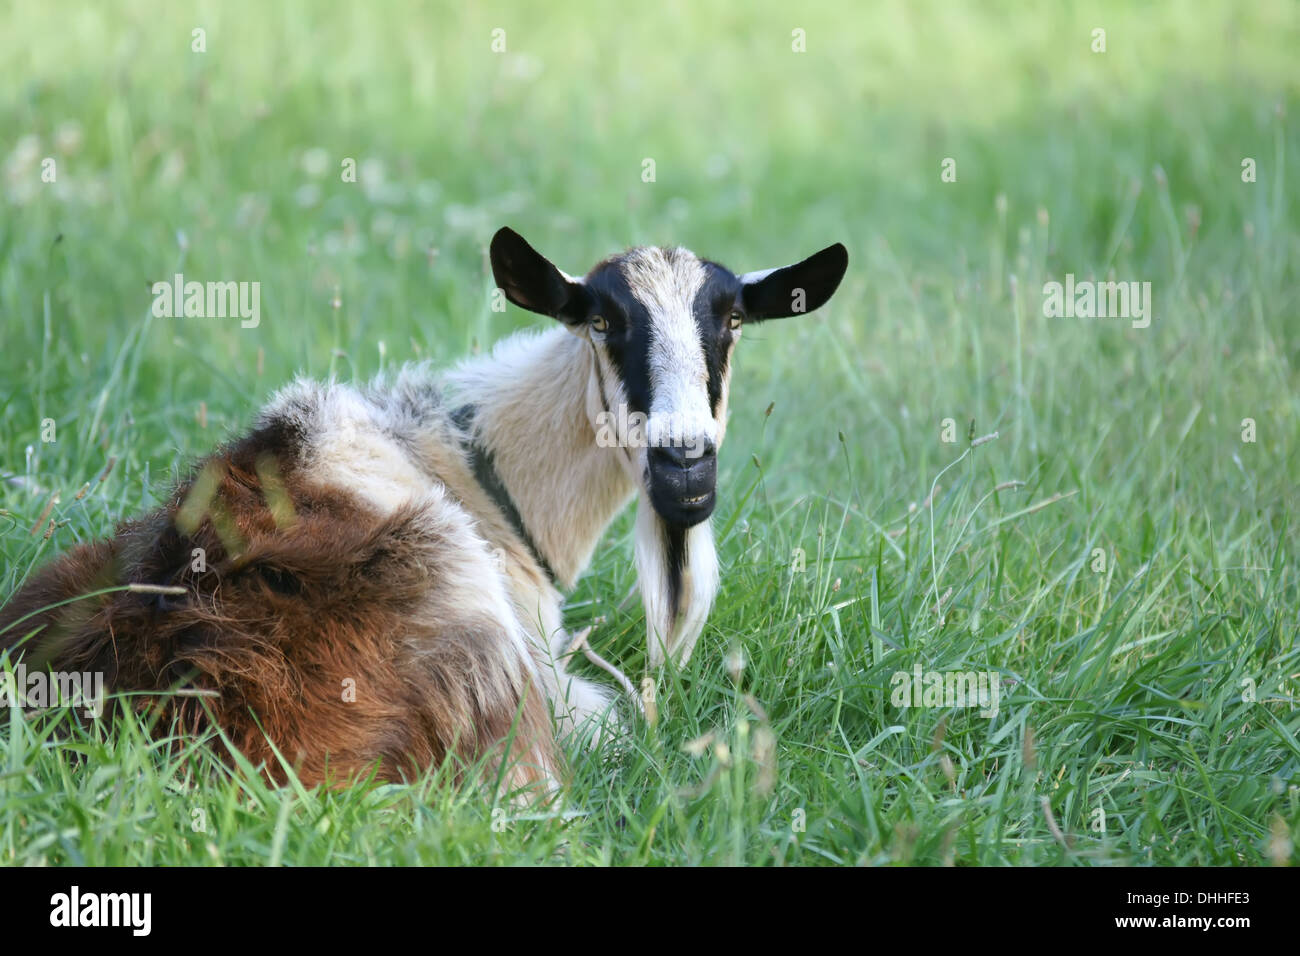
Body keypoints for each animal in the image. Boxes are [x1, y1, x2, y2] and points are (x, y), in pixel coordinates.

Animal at [0, 227, 848, 795]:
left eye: (731, 322)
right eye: (604, 322)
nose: (685, 467)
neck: (469, 466)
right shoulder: (552, 683)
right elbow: (619, 718)